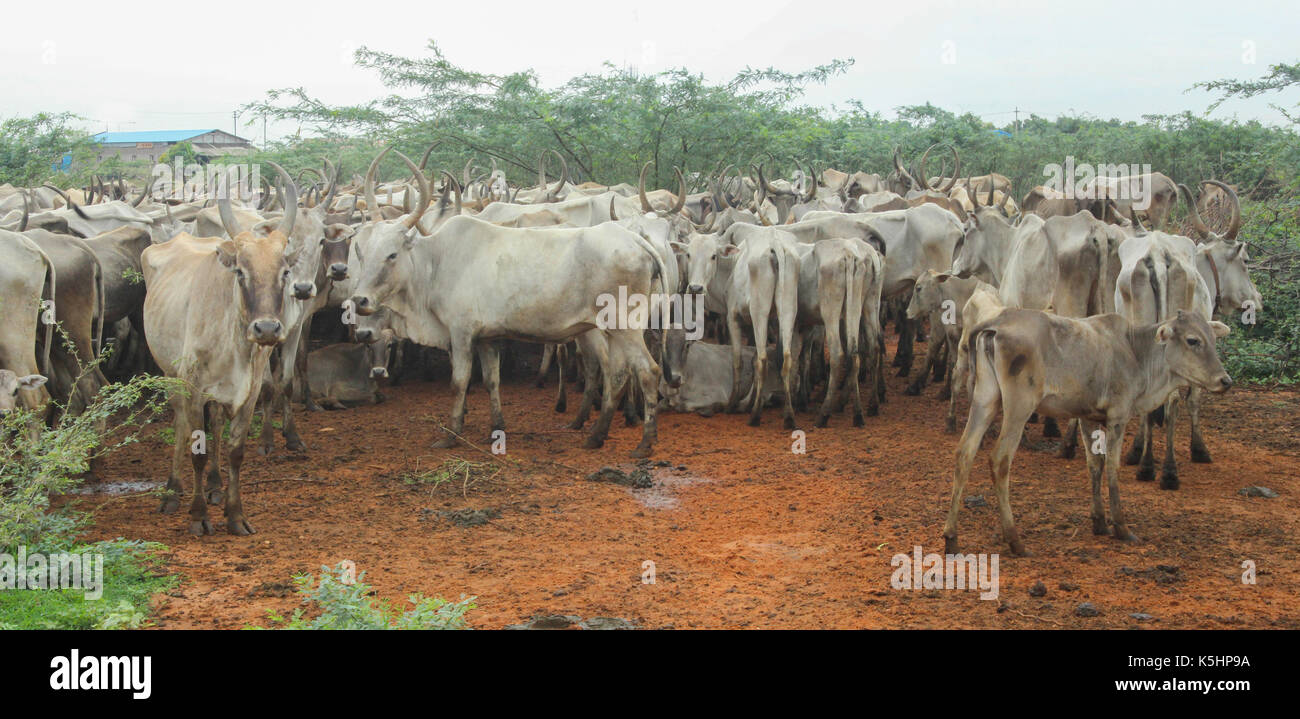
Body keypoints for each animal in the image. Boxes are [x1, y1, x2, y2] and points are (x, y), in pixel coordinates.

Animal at [142, 162, 302, 536]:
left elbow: (235, 451)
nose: (267, 329)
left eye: (285, 272)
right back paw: (172, 492)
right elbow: (196, 451)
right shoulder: (193, 386)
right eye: (241, 272)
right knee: (181, 425)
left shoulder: (250, 392)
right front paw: (198, 515)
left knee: (214, 422)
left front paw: (234, 514)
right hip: (170, 374)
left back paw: (214, 485)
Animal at [945, 308, 1232, 556]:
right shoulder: (1118, 416)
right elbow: (1113, 467)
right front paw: (1121, 527)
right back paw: (1015, 540)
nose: (1225, 380)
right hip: (1019, 406)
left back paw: (951, 538)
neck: (1135, 352)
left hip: (985, 399)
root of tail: (996, 323)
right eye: (1193, 340)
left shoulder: (1087, 417)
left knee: (964, 453)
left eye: (1213, 339)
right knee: (999, 460)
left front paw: (1100, 522)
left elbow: (1095, 465)